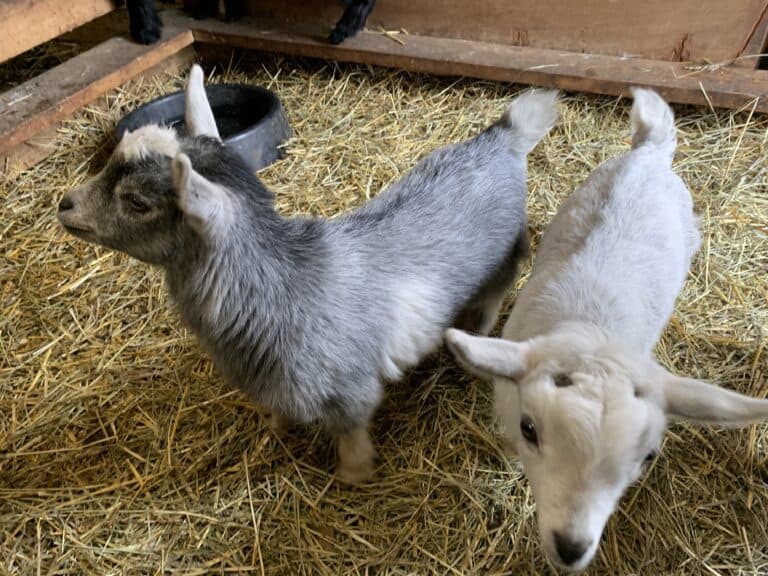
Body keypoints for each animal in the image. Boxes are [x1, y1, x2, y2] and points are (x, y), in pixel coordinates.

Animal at [57, 64, 557, 482]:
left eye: (137, 201)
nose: (65, 204)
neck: (283, 283)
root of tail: (503, 138)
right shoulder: (274, 381)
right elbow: (279, 411)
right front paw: (275, 428)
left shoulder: (352, 391)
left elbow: (351, 432)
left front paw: (354, 476)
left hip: (505, 260)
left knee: (494, 295)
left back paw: (478, 333)